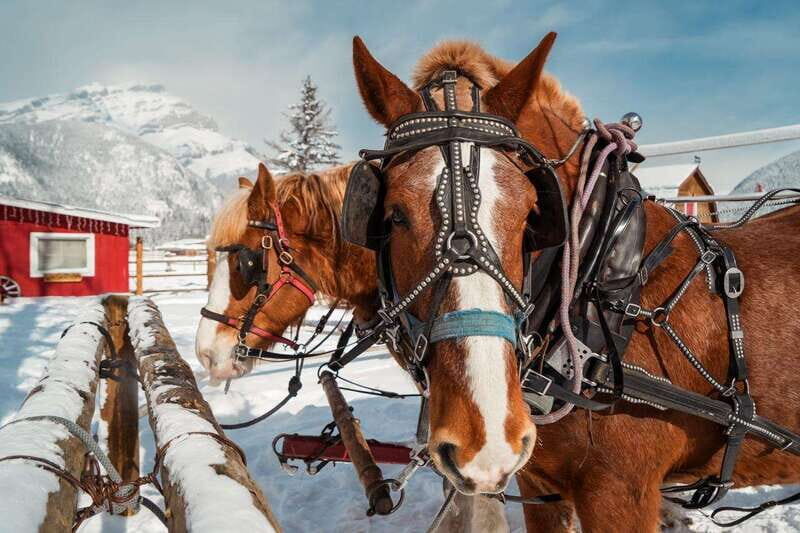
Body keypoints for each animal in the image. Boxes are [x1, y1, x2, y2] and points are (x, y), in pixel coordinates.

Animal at [349, 32, 800, 532]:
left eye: (532, 215)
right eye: (393, 216)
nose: (484, 439)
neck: (603, 292)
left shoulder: (620, 495)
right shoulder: (537, 486)